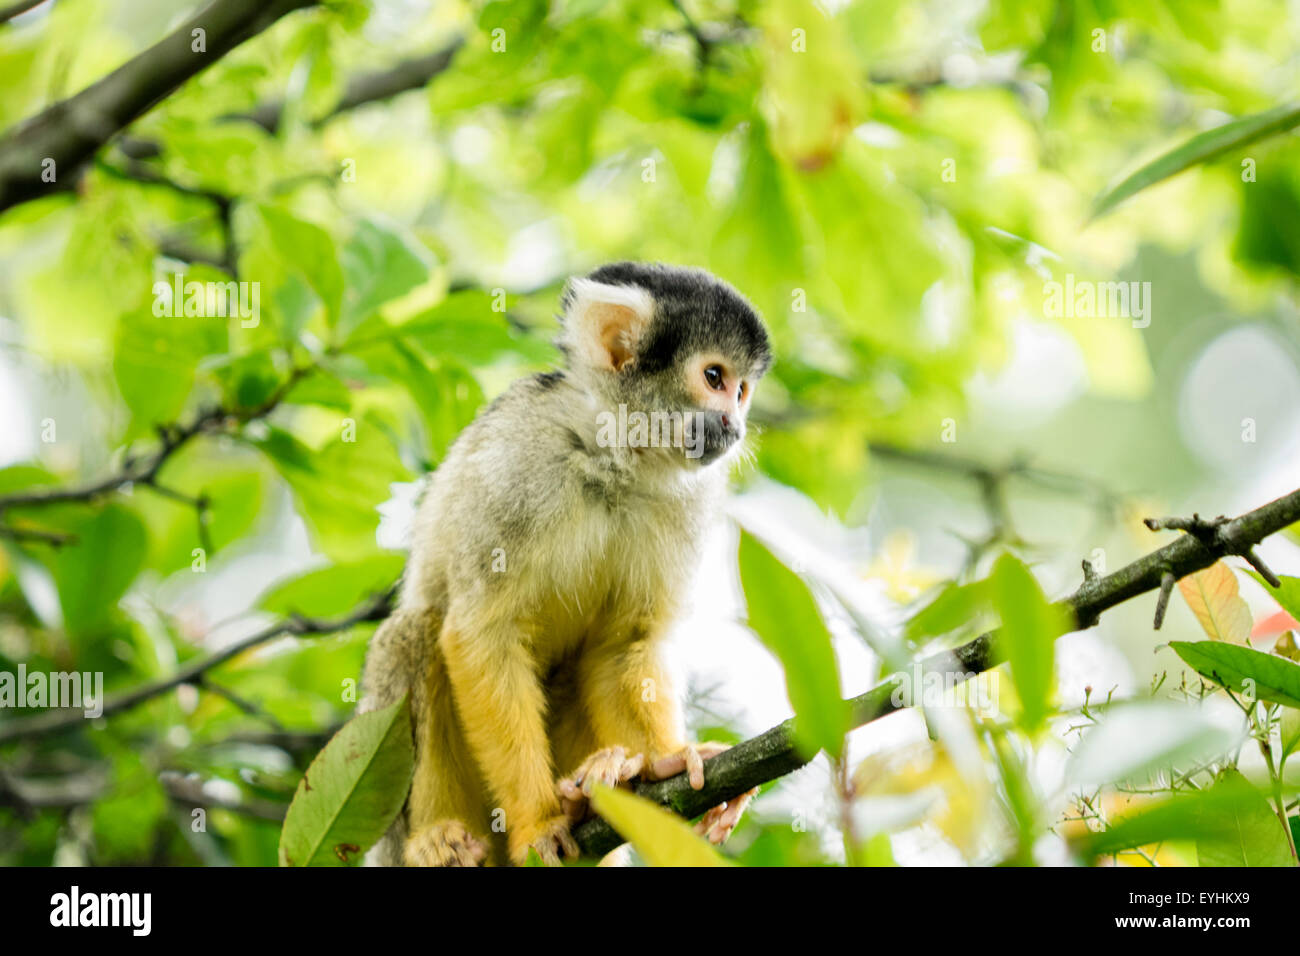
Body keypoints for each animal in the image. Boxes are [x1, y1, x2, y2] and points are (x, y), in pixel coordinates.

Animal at [359, 262, 772, 866]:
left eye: (742, 392)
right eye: (715, 377)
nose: (734, 426)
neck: (614, 458)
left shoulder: (689, 499)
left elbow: (624, 644)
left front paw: (667, 761)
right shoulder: (521, 461)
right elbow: (481, 631)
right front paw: (537, 823)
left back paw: (603, 781)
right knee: (418, 630)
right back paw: (436, 838)